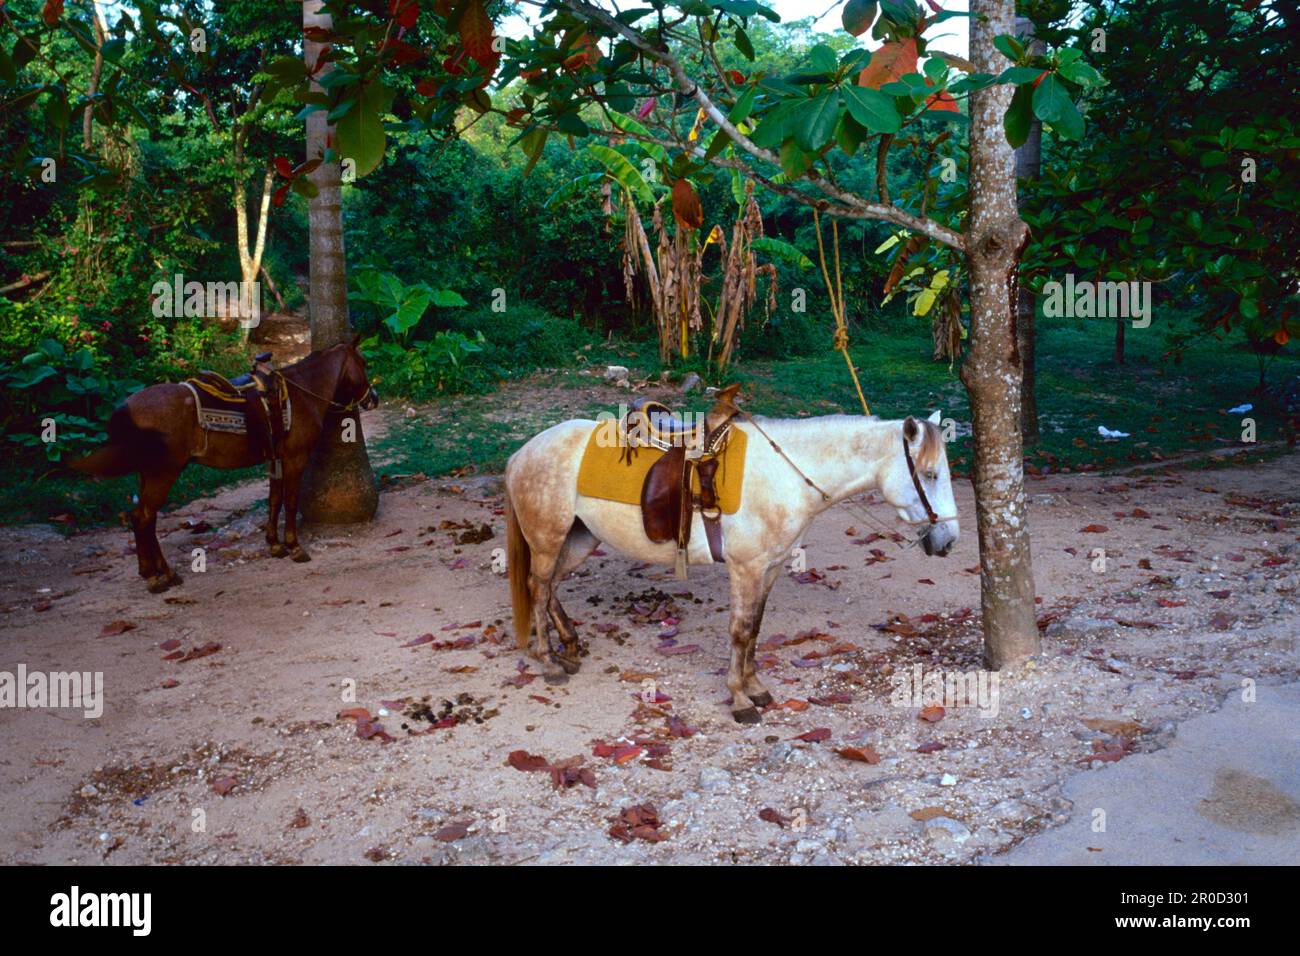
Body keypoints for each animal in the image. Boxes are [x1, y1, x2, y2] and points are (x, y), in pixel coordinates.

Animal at [71, 339, 378, 592]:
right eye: (363, 363)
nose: (373, 398)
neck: (302, 393)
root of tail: (127, 408)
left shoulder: (275, 458)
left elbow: (274, 500)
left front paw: (274, 544)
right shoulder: (295, 458)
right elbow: (290, 502)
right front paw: (294, 547)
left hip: (150, 472)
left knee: (145, 517)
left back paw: (164, 574)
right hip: (163, 472)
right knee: (143, 517)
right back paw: (155, 577)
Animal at [504, 408, 960, 723]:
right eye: (930, 474)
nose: (949, 541)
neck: (783, 476)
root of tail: (522, 452)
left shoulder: (770, 568)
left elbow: (755, 628)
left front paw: (755, 687)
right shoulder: (746, 568)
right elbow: (740, 631)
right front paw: (740, 700)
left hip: (580, 539)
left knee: (551, 587)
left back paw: (569, 645)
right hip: (548, 539)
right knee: (538, 587)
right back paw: (549, 661)